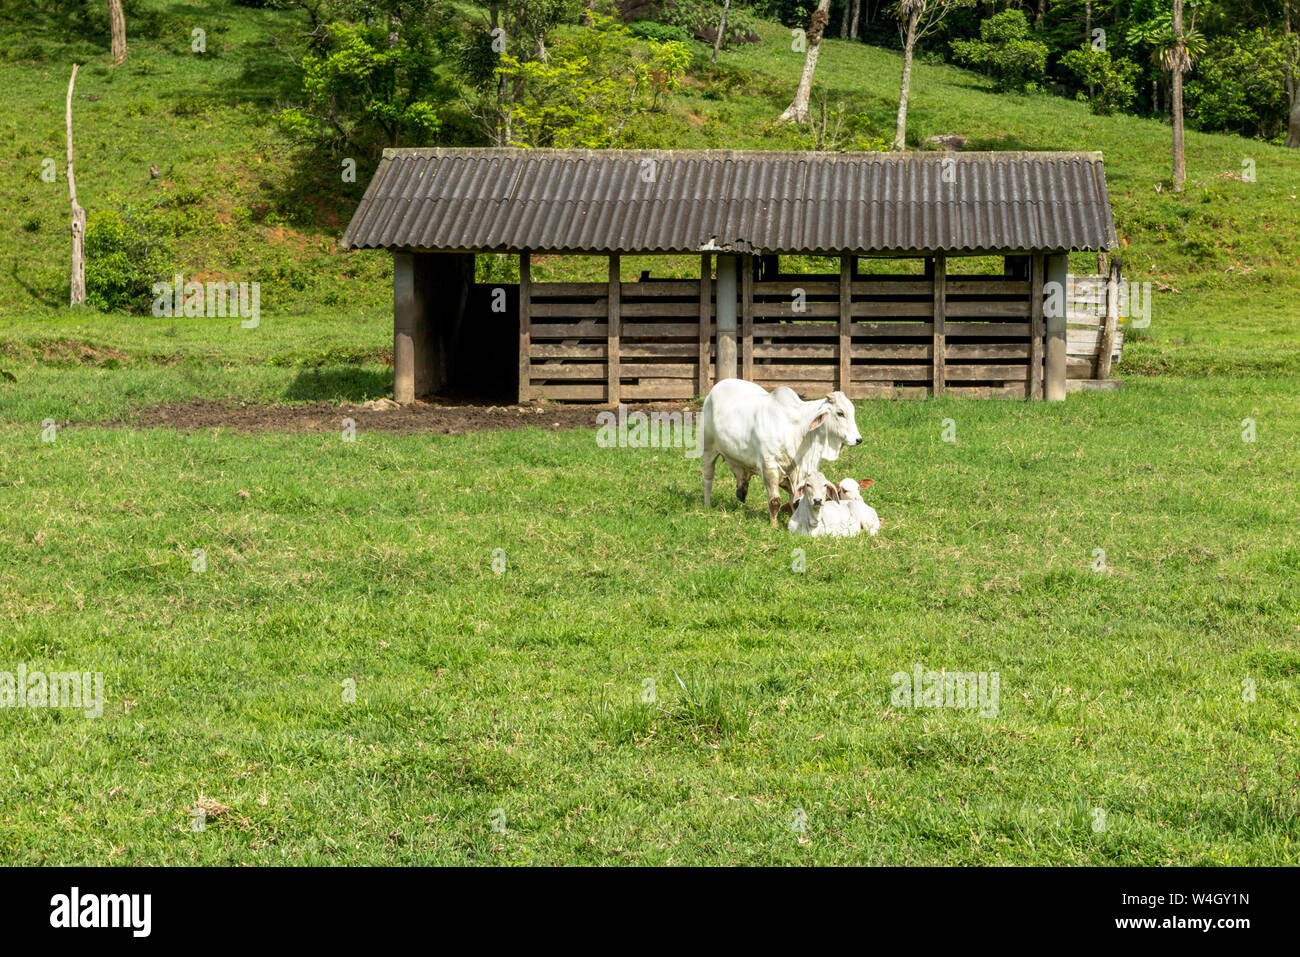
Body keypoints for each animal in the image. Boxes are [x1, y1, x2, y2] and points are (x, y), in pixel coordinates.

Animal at [698, 379, 863, 526]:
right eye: (840, 413)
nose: (858, 439)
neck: (798, 429)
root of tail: (716, 388)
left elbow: (796, 500)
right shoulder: (769, 466)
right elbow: (774, 501)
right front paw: (774, 525)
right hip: (708, 449)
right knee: (707, 478)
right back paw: (707, 506)